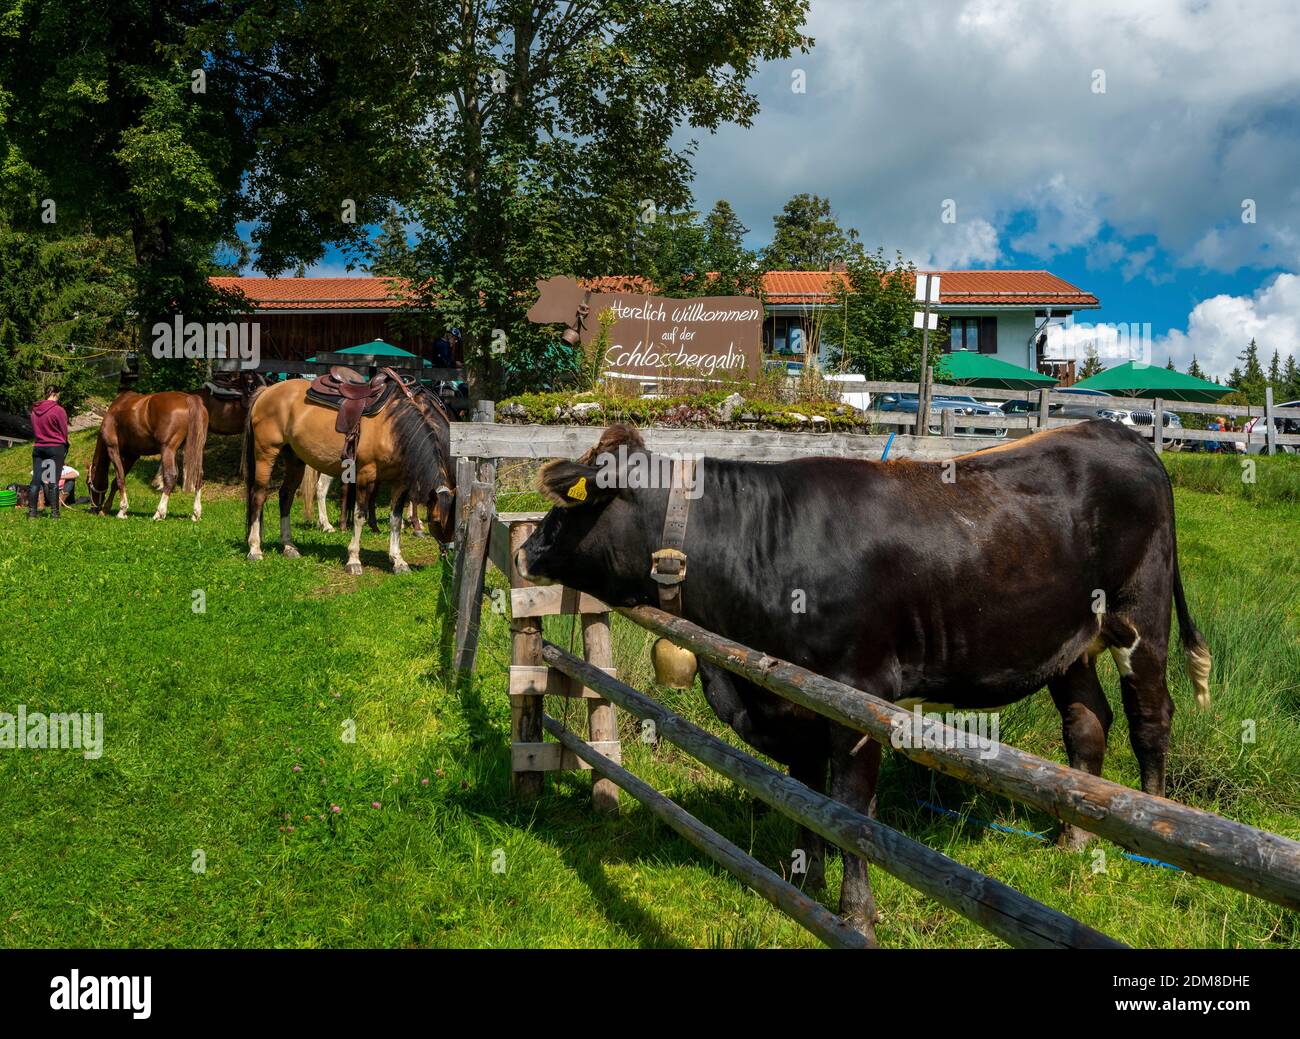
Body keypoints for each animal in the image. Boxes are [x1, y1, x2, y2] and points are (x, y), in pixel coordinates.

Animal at [514, 420, 1213, 943]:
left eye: (573, 504)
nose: (526, 548)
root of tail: (1118, 433)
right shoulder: (790, 700)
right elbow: (804, 795)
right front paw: (804, 880)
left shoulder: (861, 694)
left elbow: (850, 809)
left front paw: (856, 912)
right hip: (1066, 644)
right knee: (1087, 722)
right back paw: (1072, 840)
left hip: (1140, 616)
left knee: (1150, 713)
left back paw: (1152, 839)